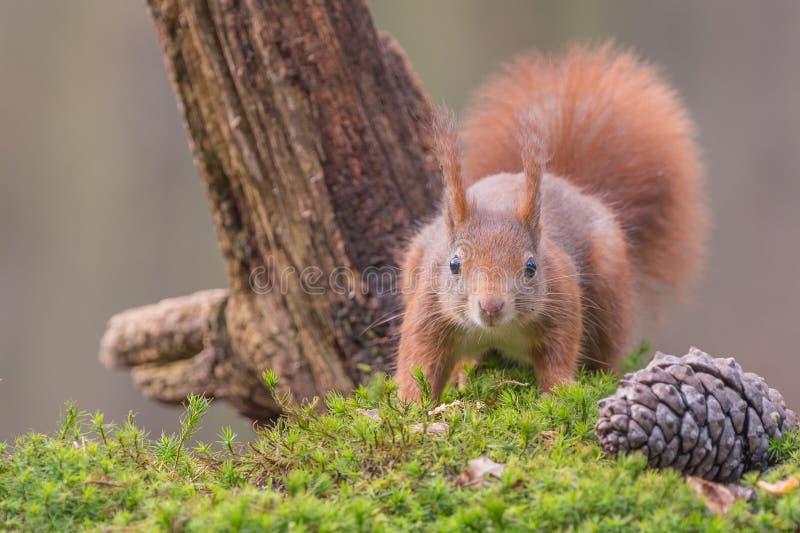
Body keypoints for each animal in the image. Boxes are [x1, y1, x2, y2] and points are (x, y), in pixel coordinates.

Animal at [395, 43, 706, 402]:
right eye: (454, 265)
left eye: (531, 266)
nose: (491, 306)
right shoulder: (429, 307)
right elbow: (418, 360)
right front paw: (412, 405)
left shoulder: (562, 302)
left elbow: (559, 354)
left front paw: (559, 394)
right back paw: (465, 370)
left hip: (609, 286)